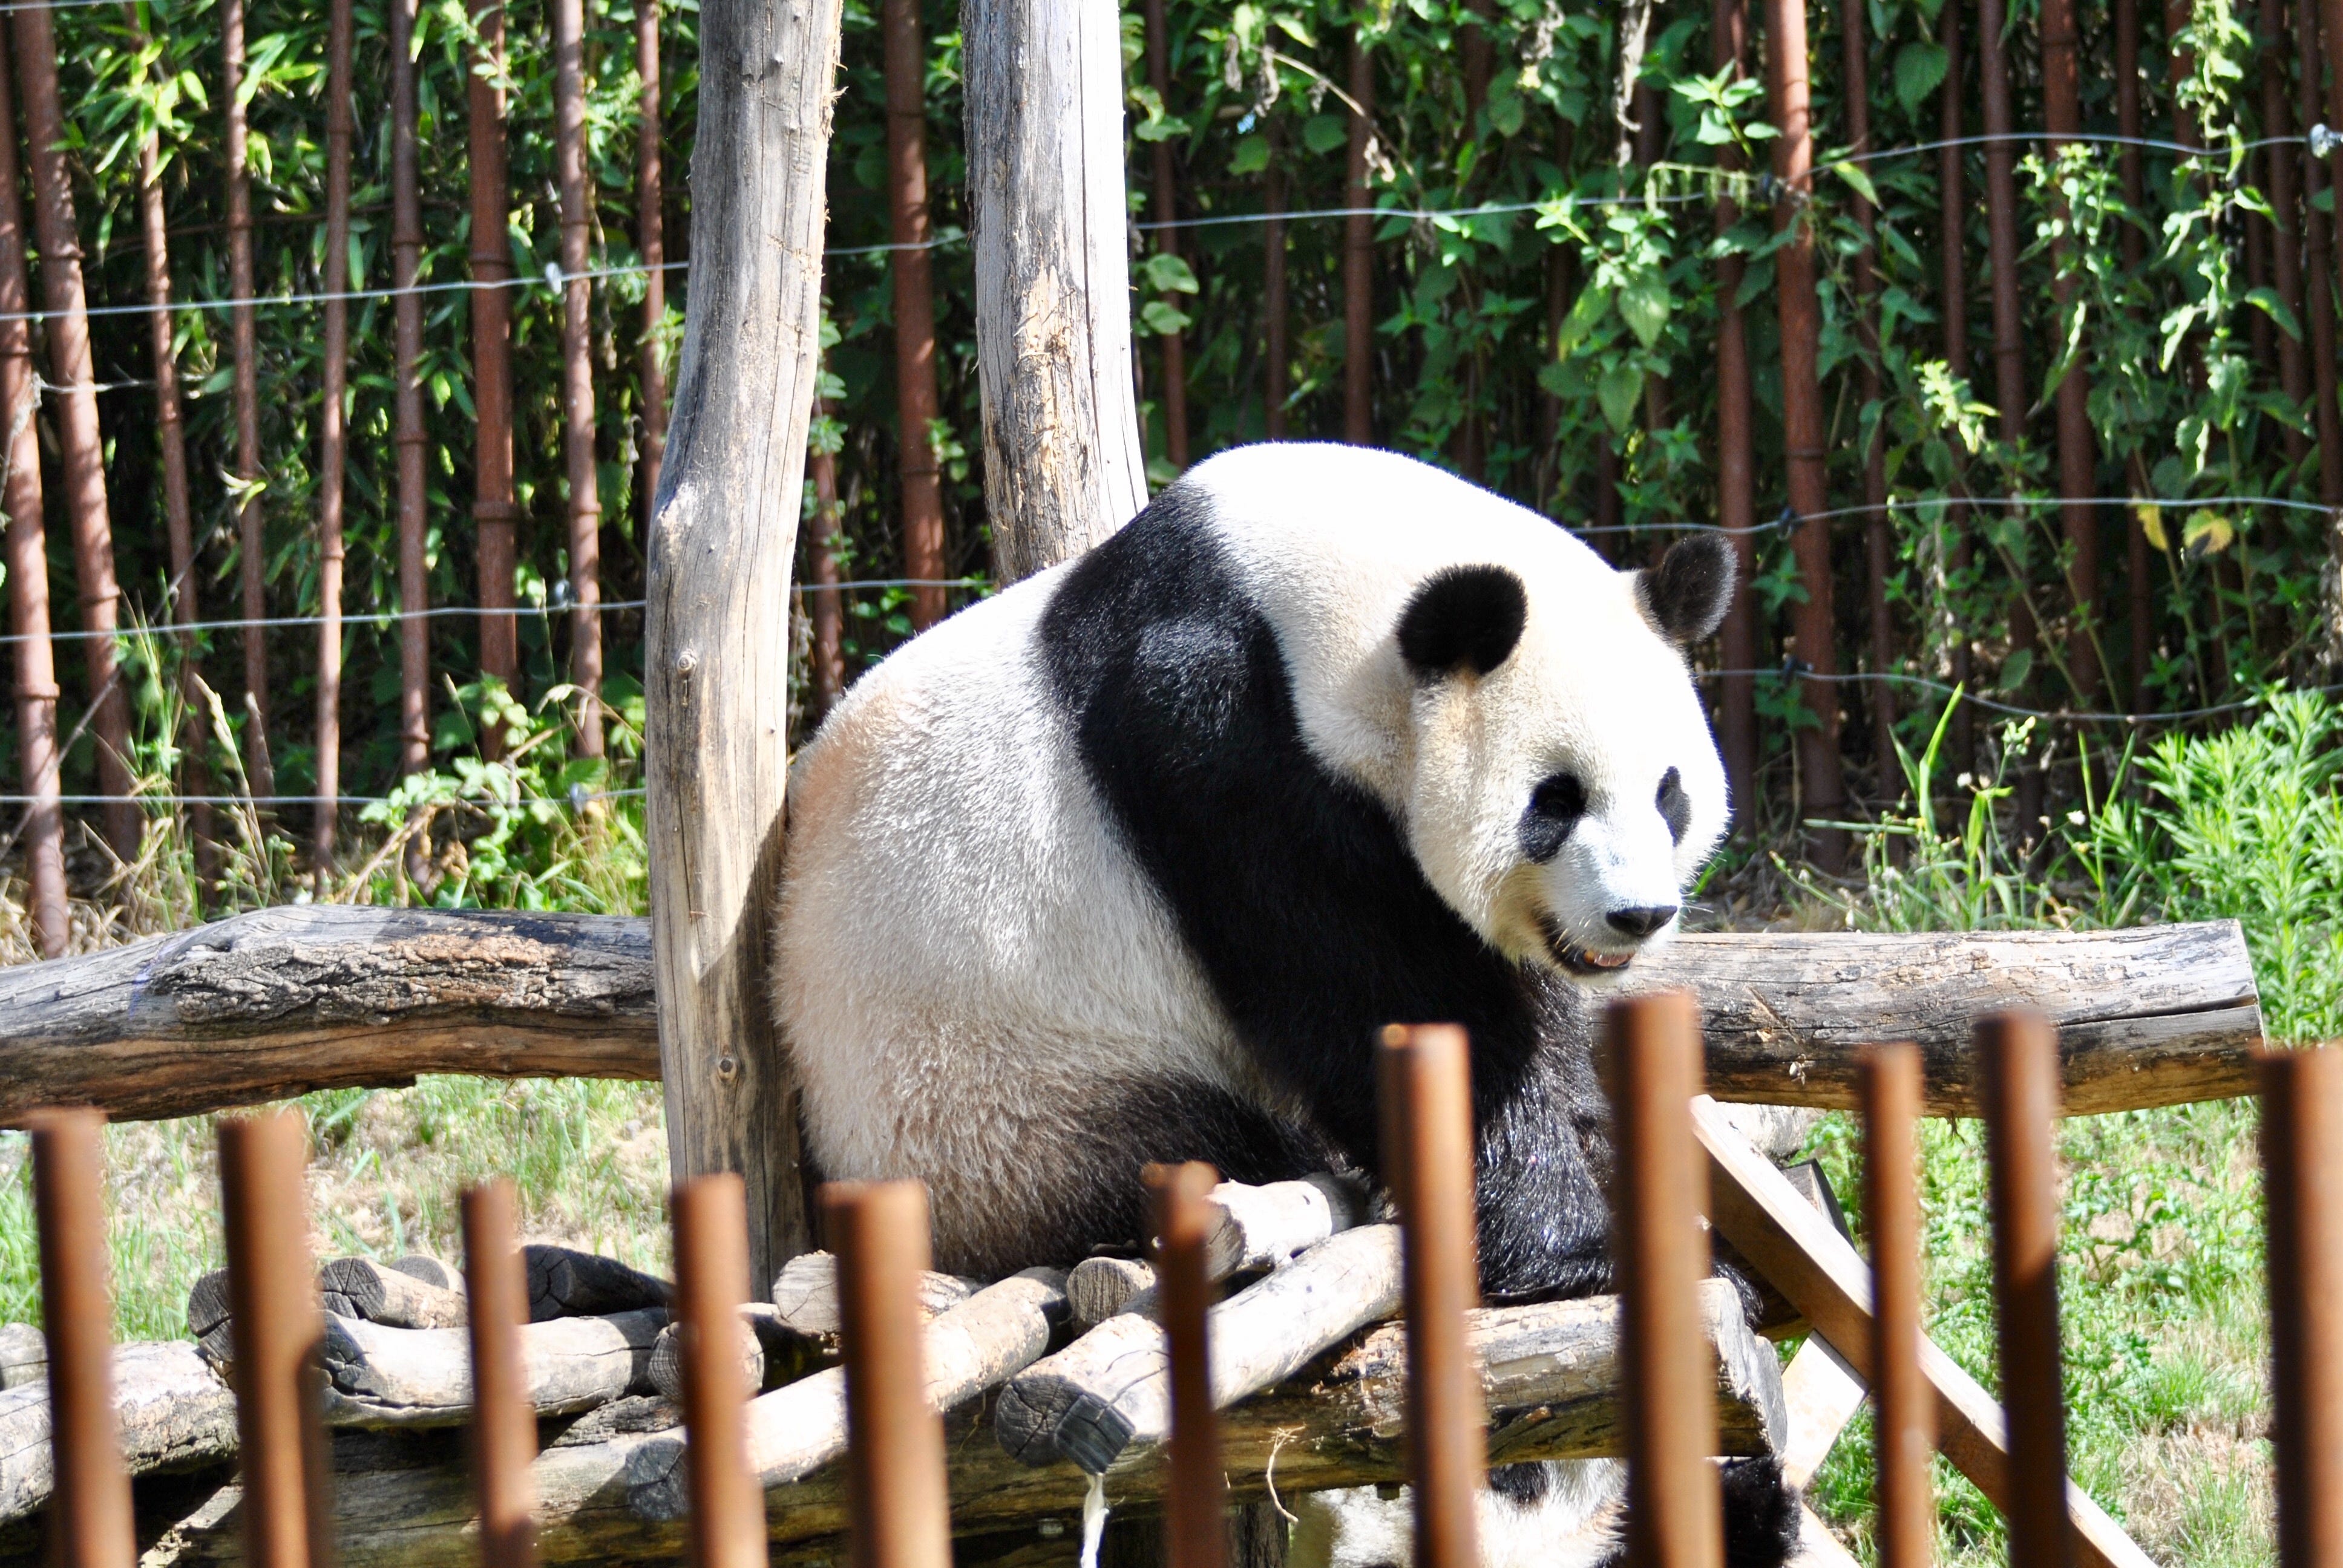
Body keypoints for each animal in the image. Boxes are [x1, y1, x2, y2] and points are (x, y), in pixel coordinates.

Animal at [774, 443, 1800, 1568]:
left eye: (1669, 791)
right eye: (1556, 800)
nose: (1637, 914)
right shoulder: (1222, 750)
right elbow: (1380, 1005)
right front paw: (1589, 1252)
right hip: (1004, 1104)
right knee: (1180, 1142)